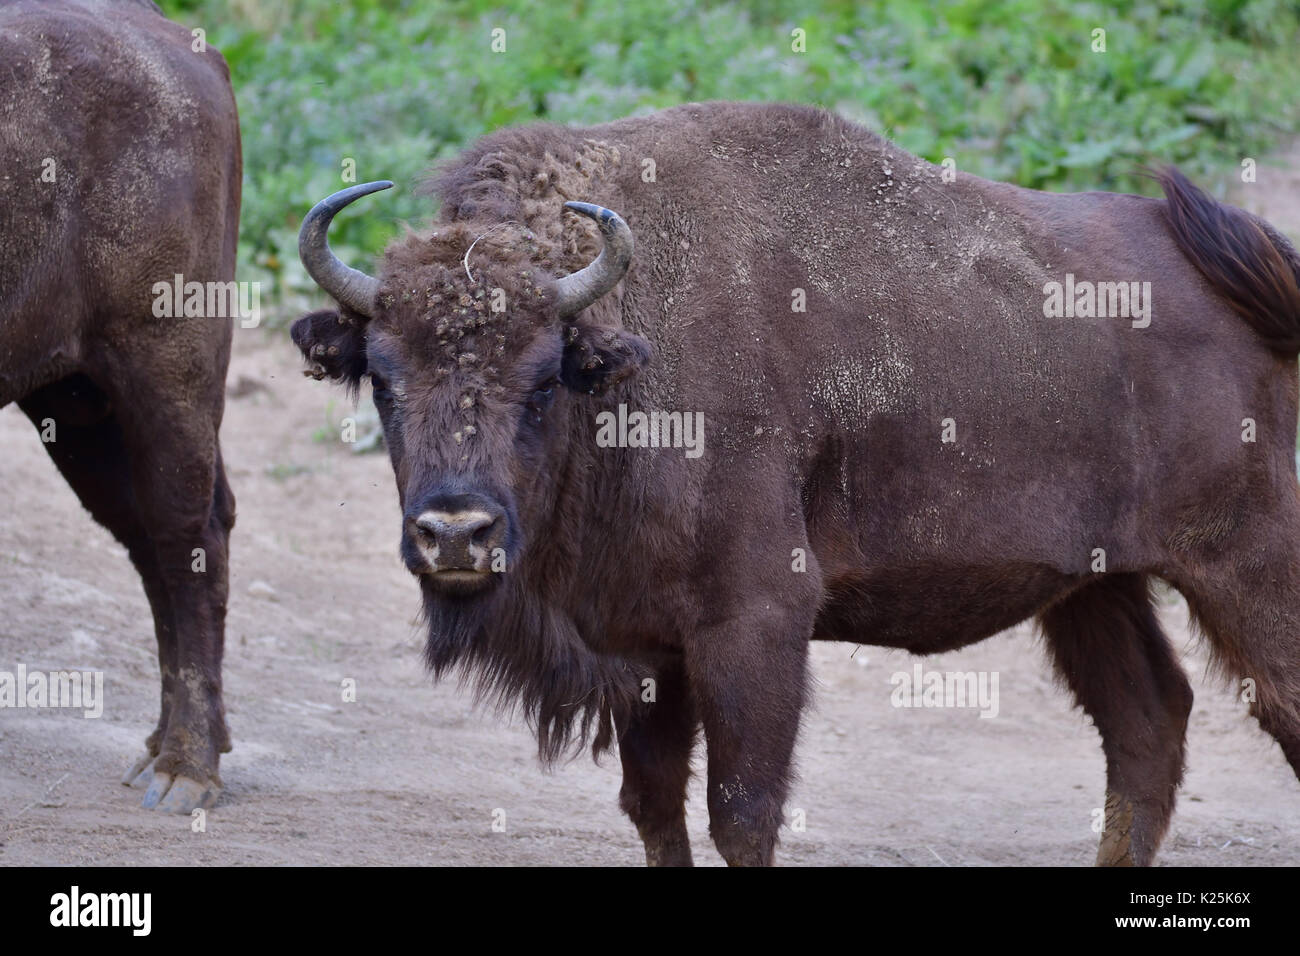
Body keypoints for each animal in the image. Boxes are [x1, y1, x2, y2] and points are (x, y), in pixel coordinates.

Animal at [1, 0, 241, 812]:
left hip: (166, 376)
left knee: (188, 539)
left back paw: (187, 768)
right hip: (79, 406)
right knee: (149, 541)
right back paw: (168, 746)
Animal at [294, 101, 1300, 865]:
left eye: (543, 379)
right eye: (381, 379)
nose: (455, 533)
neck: (623, 357)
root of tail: (1253, 286)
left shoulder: (755, 627)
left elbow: (743, 814)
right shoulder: (647, 651)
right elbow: (655, 807)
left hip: (1245, 565)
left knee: (1265, 708)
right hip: (1092, 587)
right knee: (1147, 724)